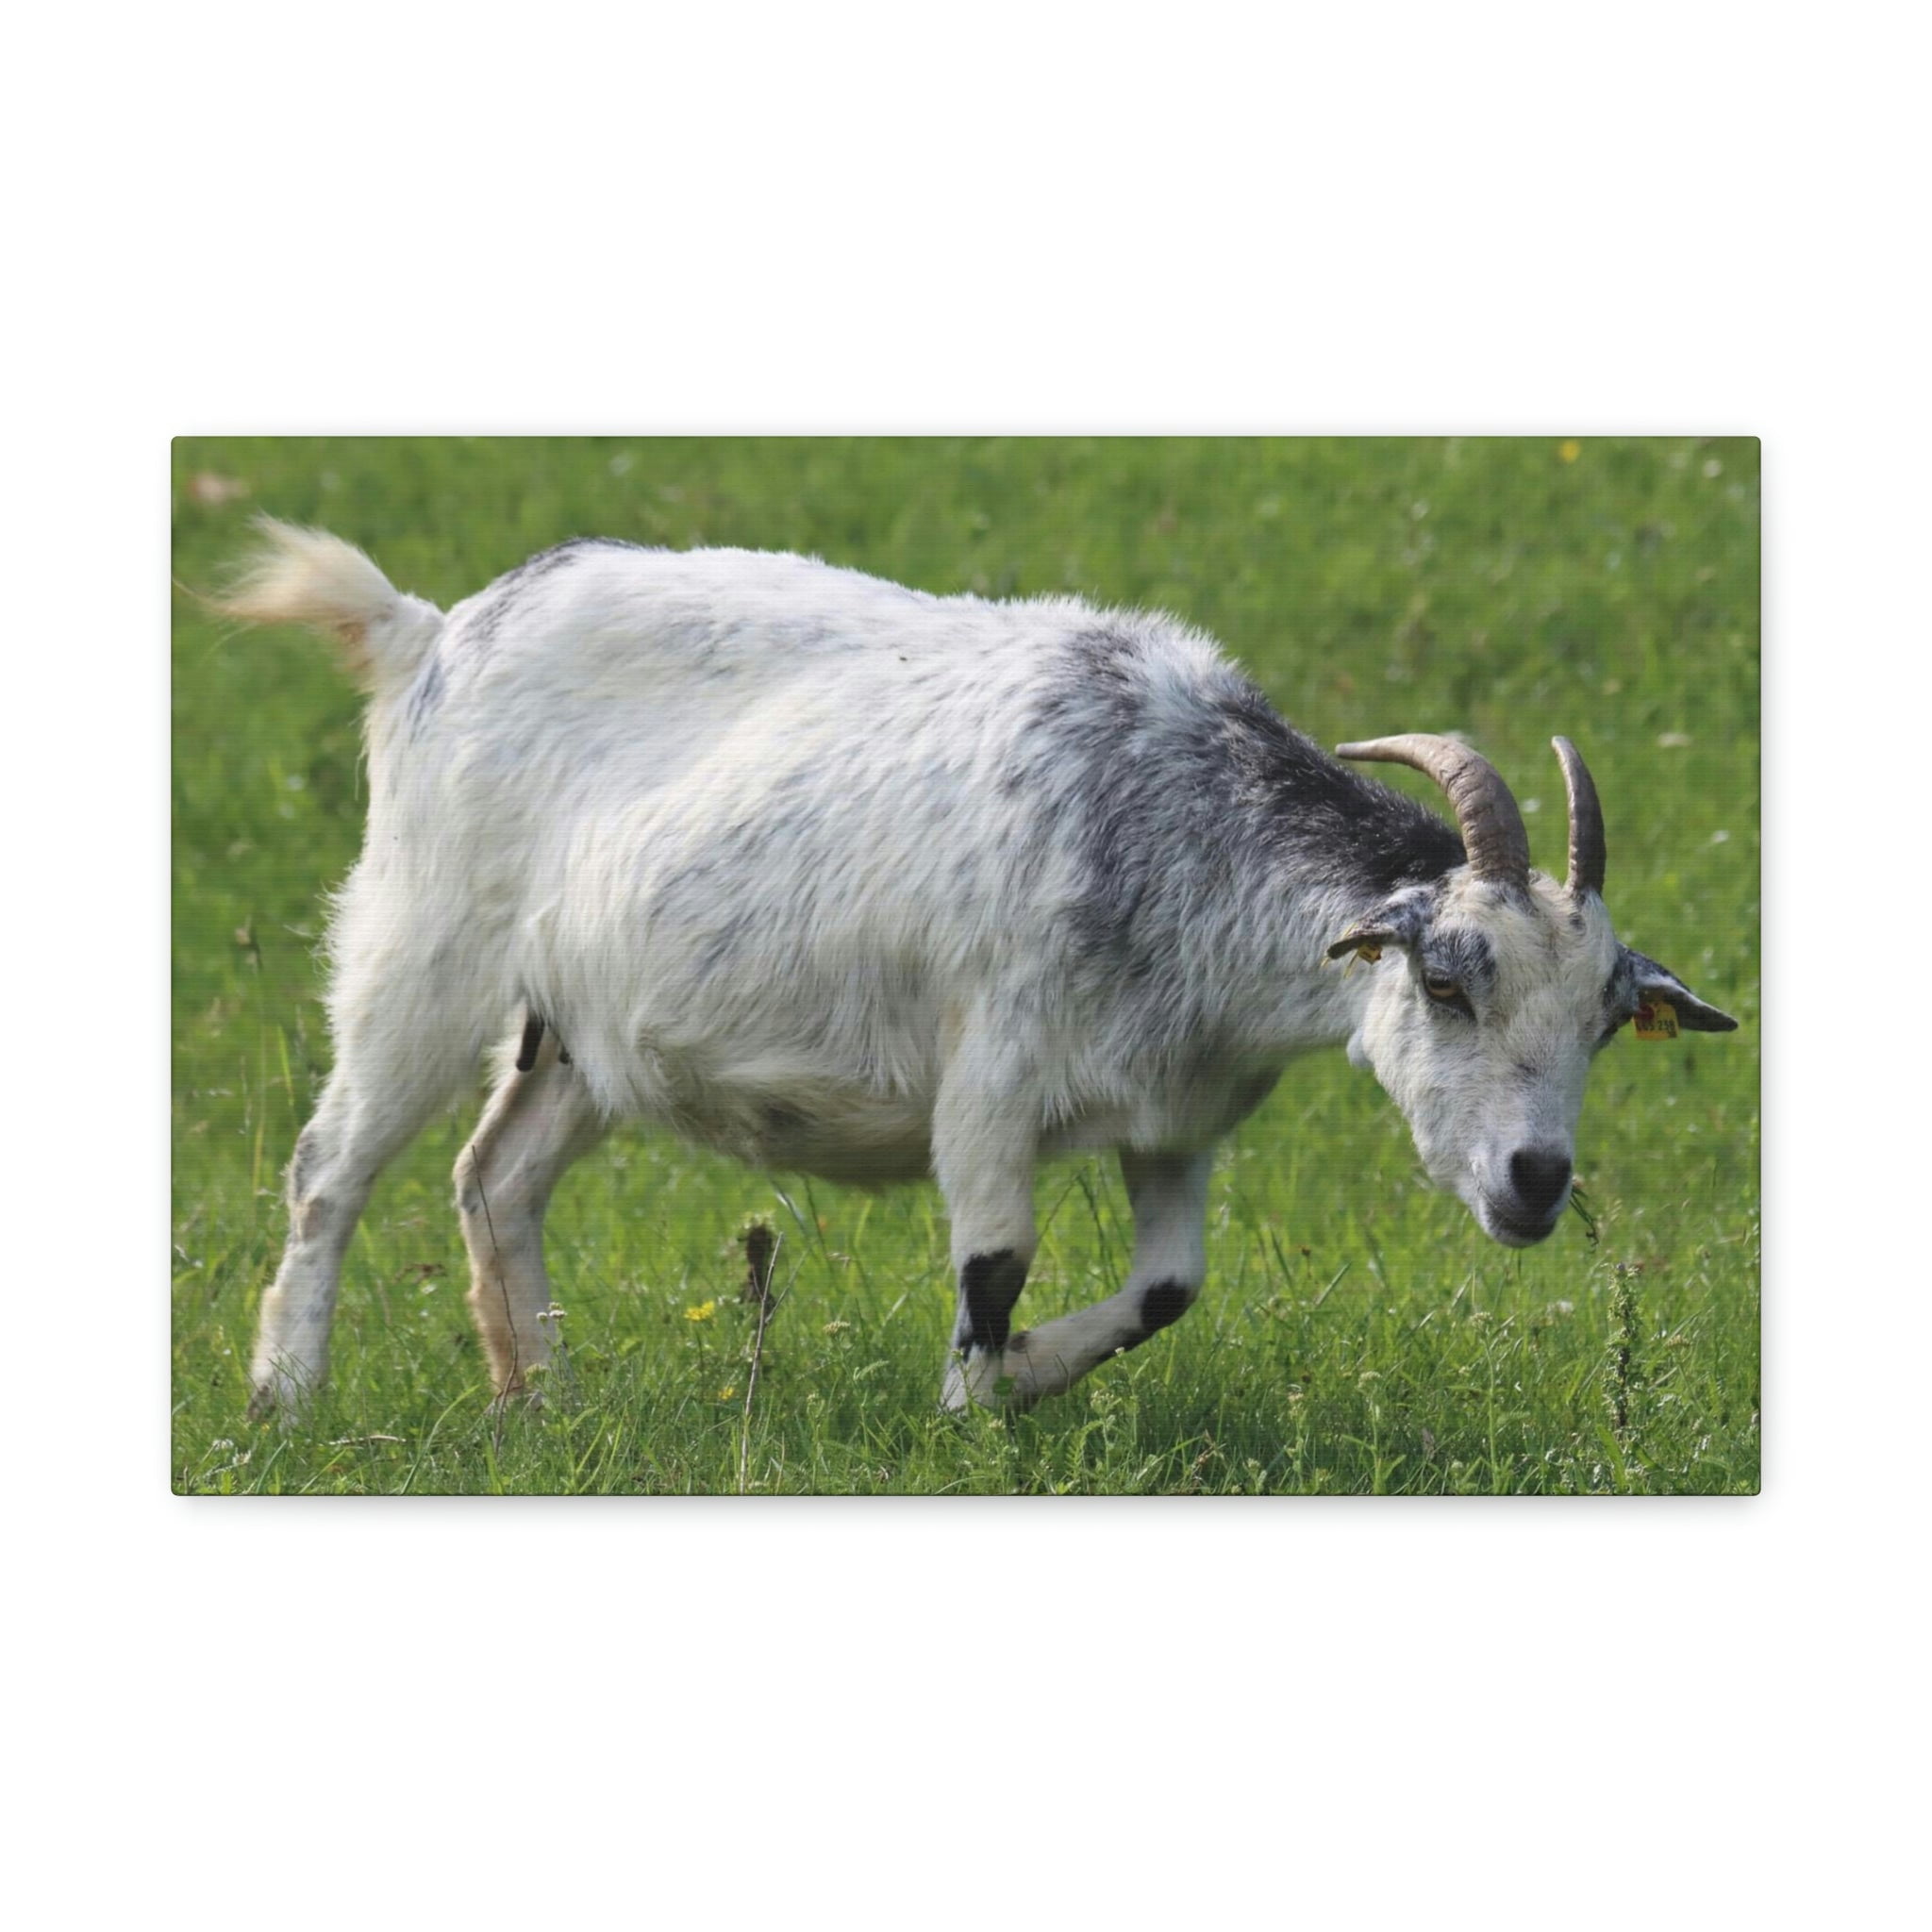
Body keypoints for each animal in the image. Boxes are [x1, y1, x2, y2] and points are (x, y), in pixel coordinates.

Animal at [214, 521, 1737, 1417]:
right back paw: (286, 1400)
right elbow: (993, 1264)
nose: (1535, 1182)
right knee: (331, 1170)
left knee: (496, 1177)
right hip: (422, 945)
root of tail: (423, 630)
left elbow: (1169, 1288)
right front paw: (971, 1412)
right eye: (1445, 982)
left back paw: (543, 1401)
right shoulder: (992, 1083)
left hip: (582, 1031)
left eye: (1606, 1022)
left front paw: (1025, 1378)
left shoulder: (1177, 1118)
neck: (1167, 819)